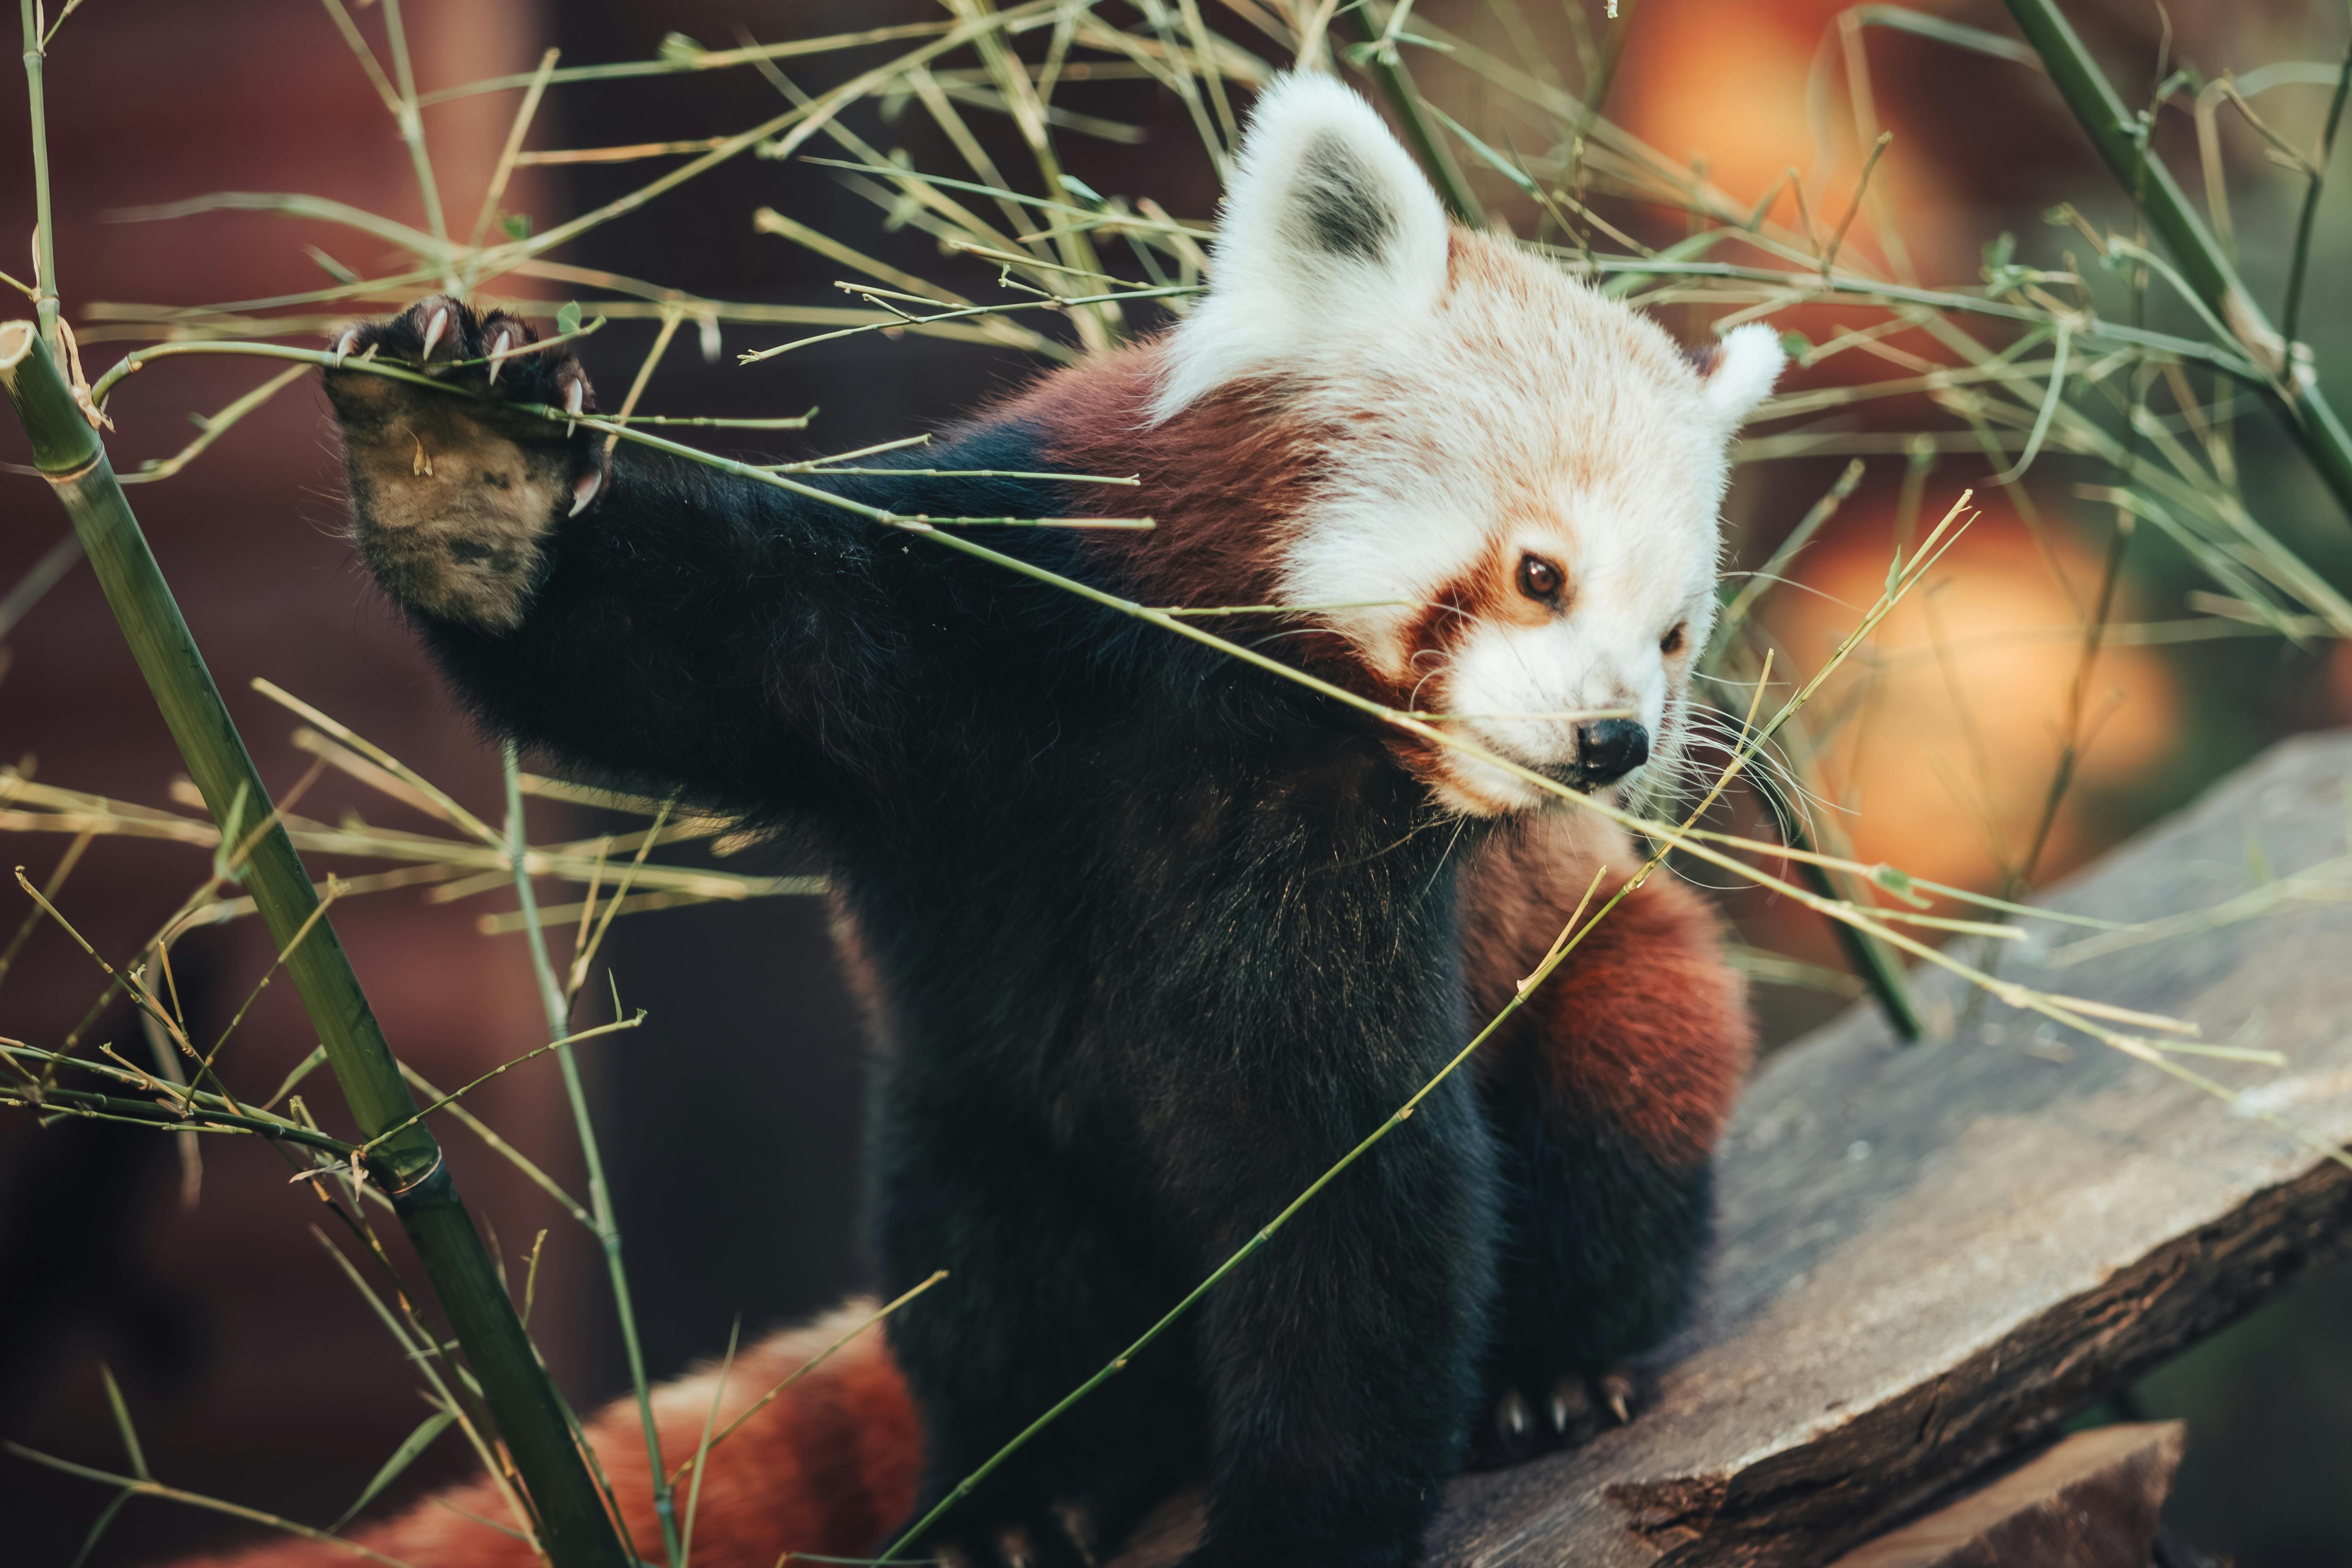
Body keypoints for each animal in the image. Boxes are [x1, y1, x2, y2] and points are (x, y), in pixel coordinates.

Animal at [204, 74, 1776, 1568]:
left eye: (1673, 635)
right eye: (1537, 574)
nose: (1614, 742)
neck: (1225, 707)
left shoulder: (1353, 878)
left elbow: (1349, 1190)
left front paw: (1302, 1522)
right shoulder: (965, 619)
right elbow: (673, 646)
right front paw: (462, 480)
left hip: (1618, 973)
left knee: (1627, 1084)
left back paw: (1548, 1372)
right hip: (957, 1112)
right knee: (995, 1277)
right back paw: (1022, 1491)